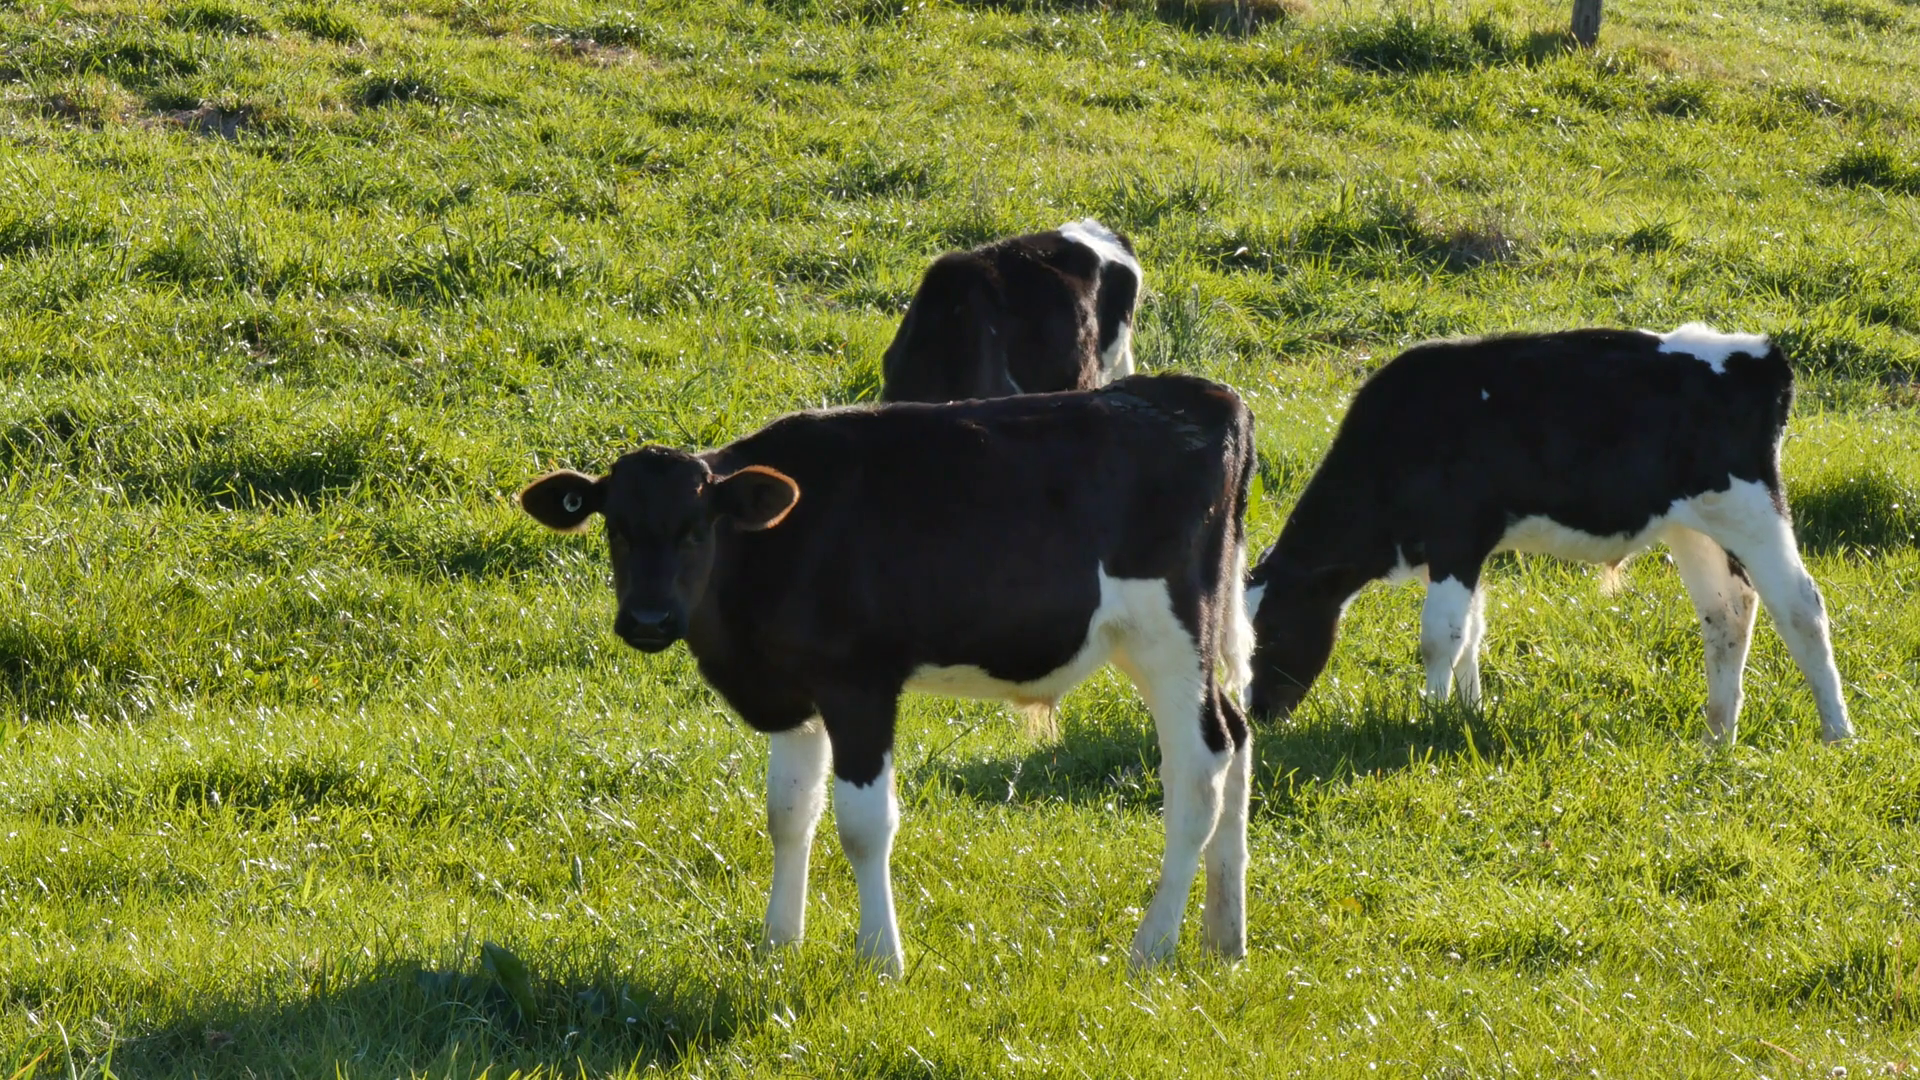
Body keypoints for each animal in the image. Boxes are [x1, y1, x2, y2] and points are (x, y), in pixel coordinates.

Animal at [519, 374, 1257, 974]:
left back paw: (1152, 946)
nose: (647, 618)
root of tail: (1211, 395)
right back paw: (1224, 937)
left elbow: (863, 824)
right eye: (615, 528)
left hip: (1170, 634)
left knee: (1200, 768)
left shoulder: (860, 686)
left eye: (698, 528)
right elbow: (788, 813)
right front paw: (778, 946)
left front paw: (879, 958)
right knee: (1238, 735)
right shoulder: (793, 693)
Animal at [1244, 325, 1851, 744]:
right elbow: (1472, 631)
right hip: (1694, 527)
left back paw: (1836, 733)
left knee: (1801, 607)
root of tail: (1761, 356)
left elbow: (1440, 636)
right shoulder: (1464, 551)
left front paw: (1429, 716)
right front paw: (1465, 712)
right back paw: (1717, 737)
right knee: (1727, 613)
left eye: (1272, 631)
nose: (1256, 713)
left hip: (1752, 509)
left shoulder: (1457, 537)